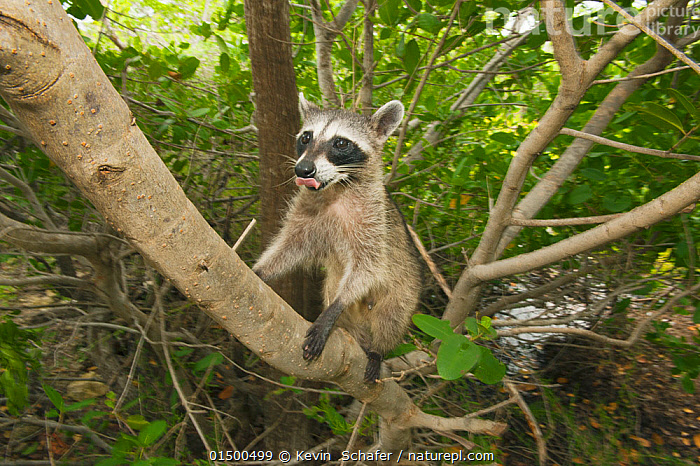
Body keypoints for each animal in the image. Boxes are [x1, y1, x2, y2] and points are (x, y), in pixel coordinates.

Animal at [253, 94, 422, 383]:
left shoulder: (373, 220)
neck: (335, 188)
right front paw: (262, 270)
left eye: (341, 143)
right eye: (306, 137)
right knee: (332, 287)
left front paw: (334, 308)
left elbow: (369, 267)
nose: (303, 169)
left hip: (405, 290)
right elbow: (290, 246)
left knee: (392, 317)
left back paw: (377, 349)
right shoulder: (306, 213)